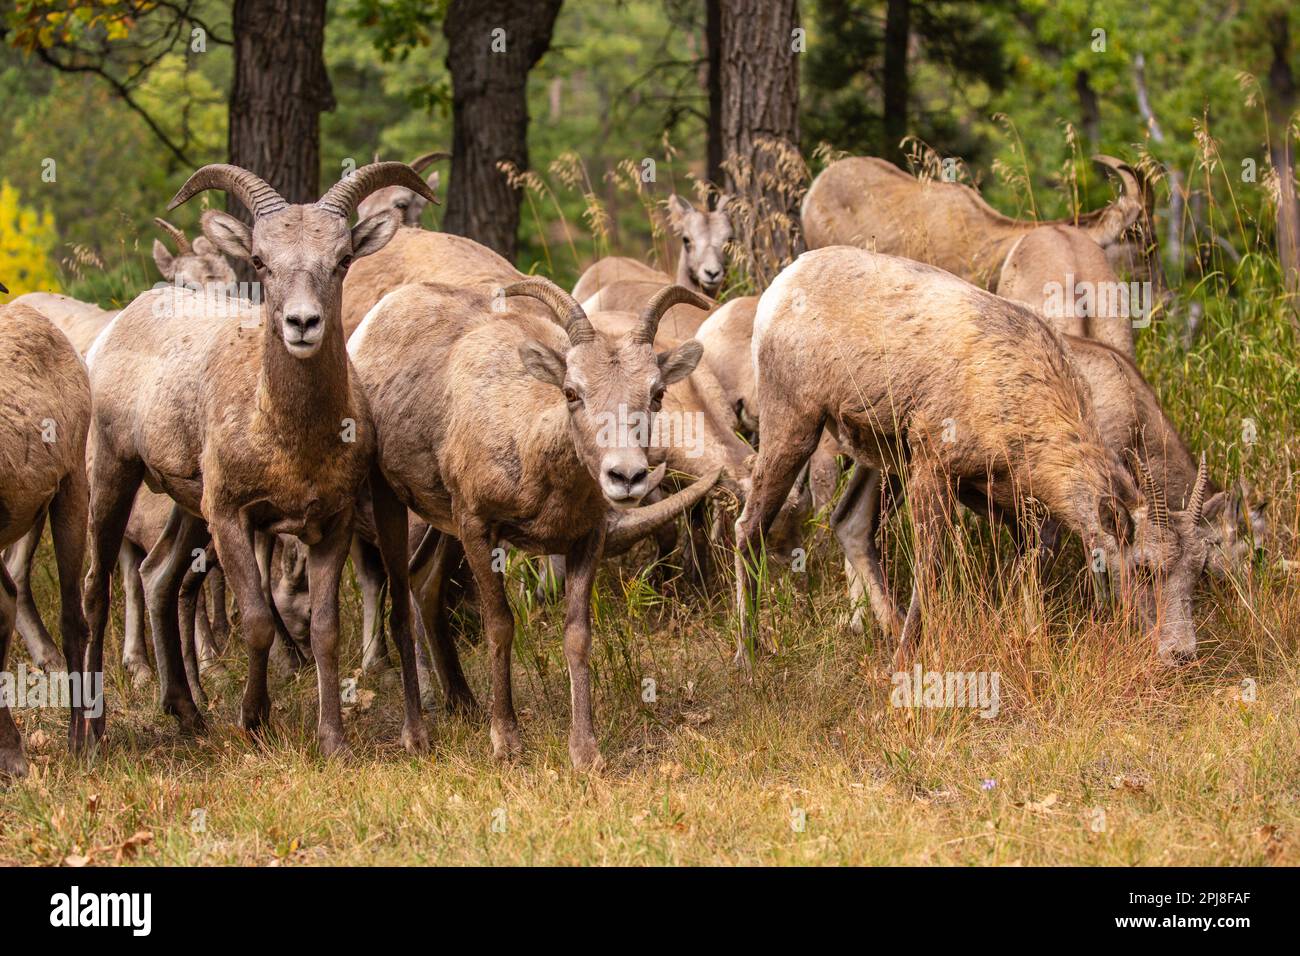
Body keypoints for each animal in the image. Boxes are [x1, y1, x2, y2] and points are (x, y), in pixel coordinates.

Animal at [81, 162, 436, 755]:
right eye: (260, 261)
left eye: (342, 259)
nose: (302, 323)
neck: (289, 439)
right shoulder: (232, 517)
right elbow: (256, 620)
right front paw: (253, 721)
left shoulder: (331, 524)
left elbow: (324, 629)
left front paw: (332, 741)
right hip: (113, 473)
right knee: (96, 587)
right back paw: (89, 732)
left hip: (187, 507)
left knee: (157, 576)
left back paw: (188, 714)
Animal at [348, 277, 721, 769]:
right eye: (571, 391)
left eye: (656, 393)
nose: (626, 477)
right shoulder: (478, 527)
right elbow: (500, 625)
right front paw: (506, 740)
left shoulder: (586, 539)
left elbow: (577, 635)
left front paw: (585, 752)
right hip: (394, 503)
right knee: (399, 605)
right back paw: (418, 735)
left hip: (443, 528)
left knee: (425, 588)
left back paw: (465, 706)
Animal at [735, 247, 1211, 667]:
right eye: (1144, 568)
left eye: (1197, 571)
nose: (1181, 654)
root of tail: (780, 287)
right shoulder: (935, 471)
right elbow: (929, 575)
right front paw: (905, 664)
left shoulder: (1006, 499)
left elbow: (1030, 569)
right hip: (796, 426)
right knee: (749, 527)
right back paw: (751, 657)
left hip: (882, 455)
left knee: (849, 522)